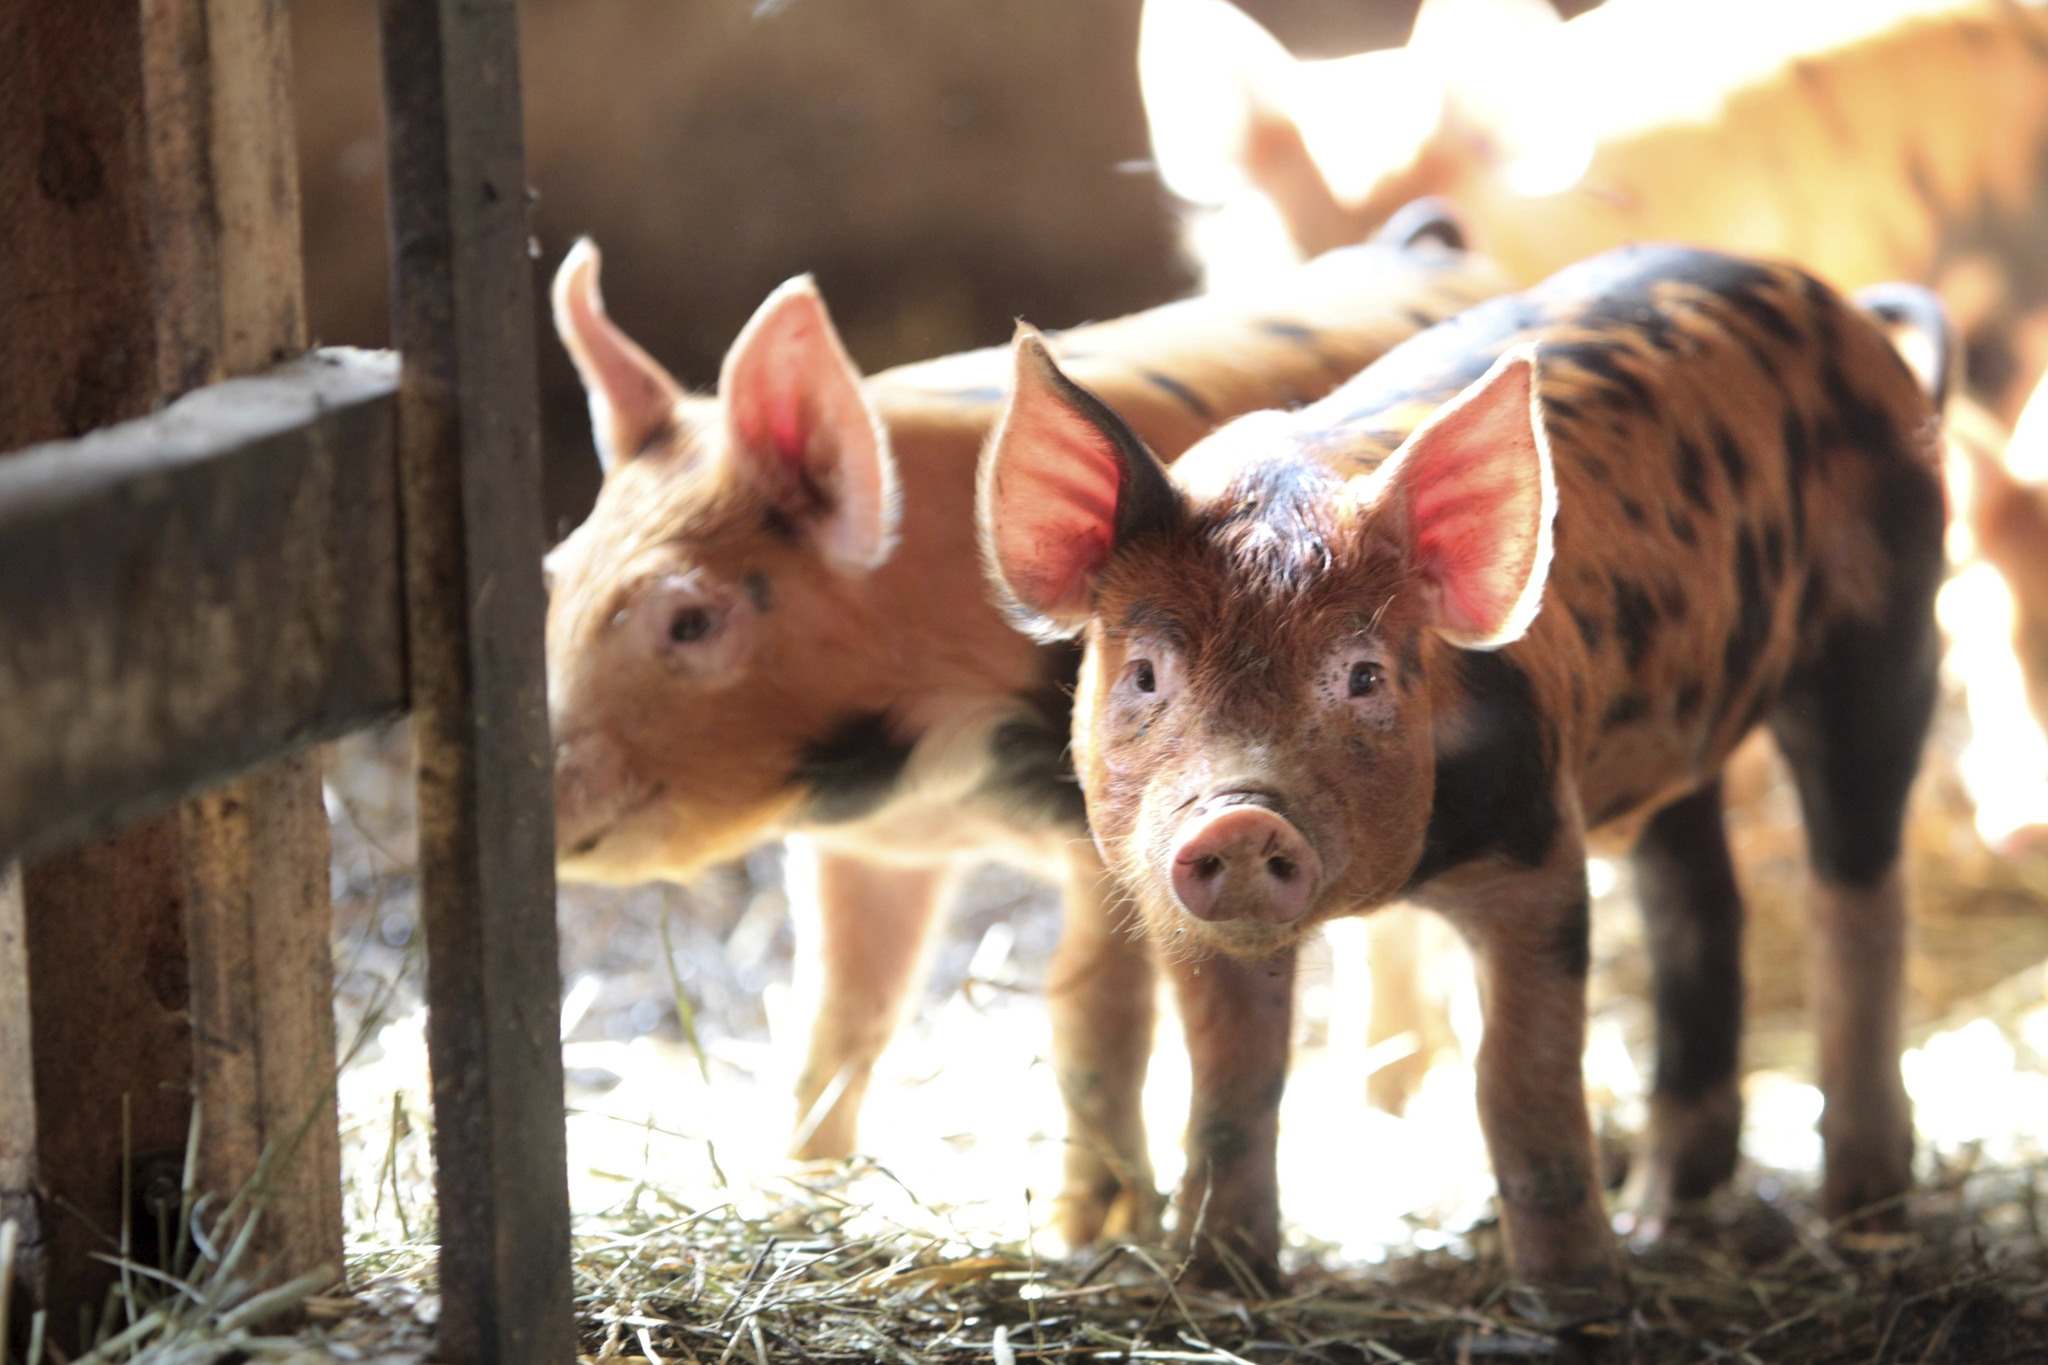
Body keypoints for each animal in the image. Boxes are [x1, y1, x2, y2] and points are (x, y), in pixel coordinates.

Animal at [540, 206, 1506, 1245]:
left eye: (690, 619)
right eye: (557, 574)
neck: (934, 774)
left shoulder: (1107, 837)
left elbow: (1089, 1017)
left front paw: (1087, 1233)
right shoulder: (872, 845)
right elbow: (841, 1013)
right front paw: (793, 1184)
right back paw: (1384, 1108)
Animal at [979, 245, 1949, 1302]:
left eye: (1363, 675)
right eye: (1148, 672)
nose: (1240, 819)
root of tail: (1842, 312)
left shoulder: (1538, 844)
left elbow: (1515, 1078)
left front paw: (1572, 1301)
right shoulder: (1178, 905)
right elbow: (1233, 1083)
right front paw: (1221, 1281)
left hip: (1888, 628)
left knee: (1860, 897)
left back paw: (1862, 1215)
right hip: (1672, 737)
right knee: (1702, 904)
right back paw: (1660, 1214)